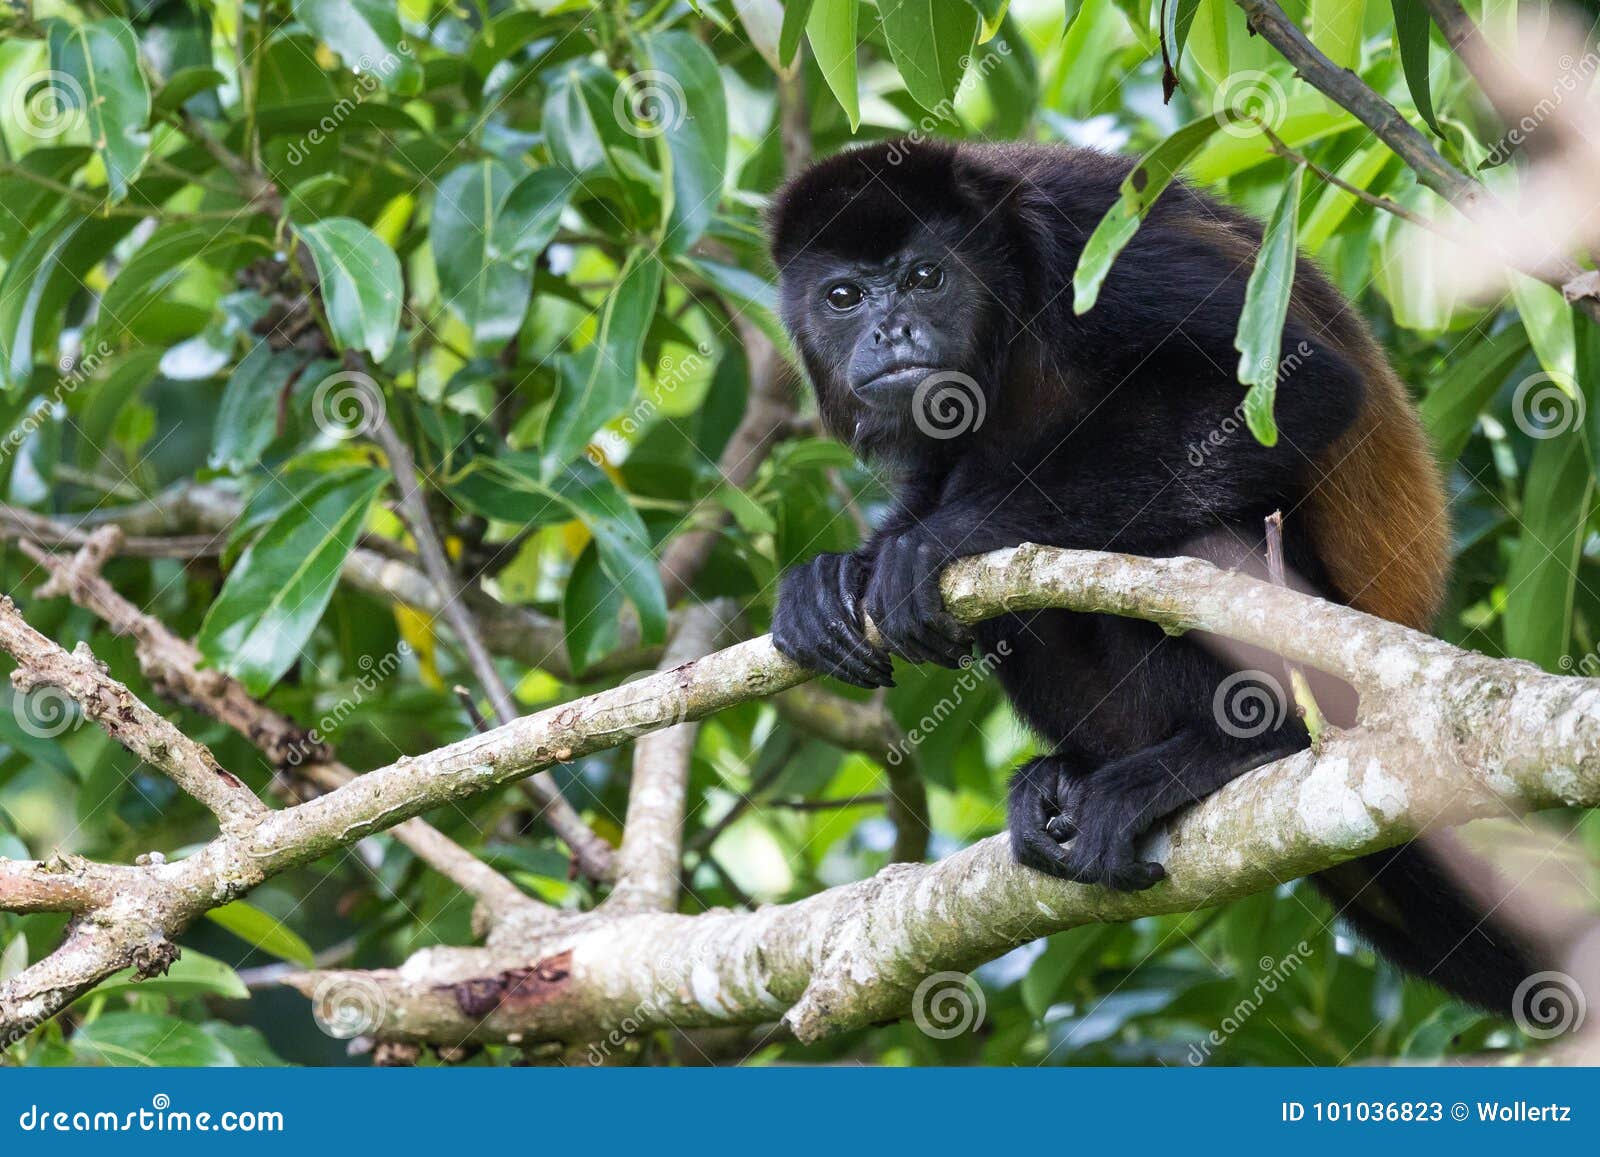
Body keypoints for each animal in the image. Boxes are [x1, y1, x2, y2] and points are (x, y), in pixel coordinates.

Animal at [766, 140, 1541, 1014]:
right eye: (843, 295)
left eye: (926, 277)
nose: (892, 329)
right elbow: (932, 472)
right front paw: (838, 573)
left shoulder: (1091, 244)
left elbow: (1298, 391)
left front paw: (945, 536)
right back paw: (1066, 772)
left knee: (1202, 534)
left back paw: (1234, 746)